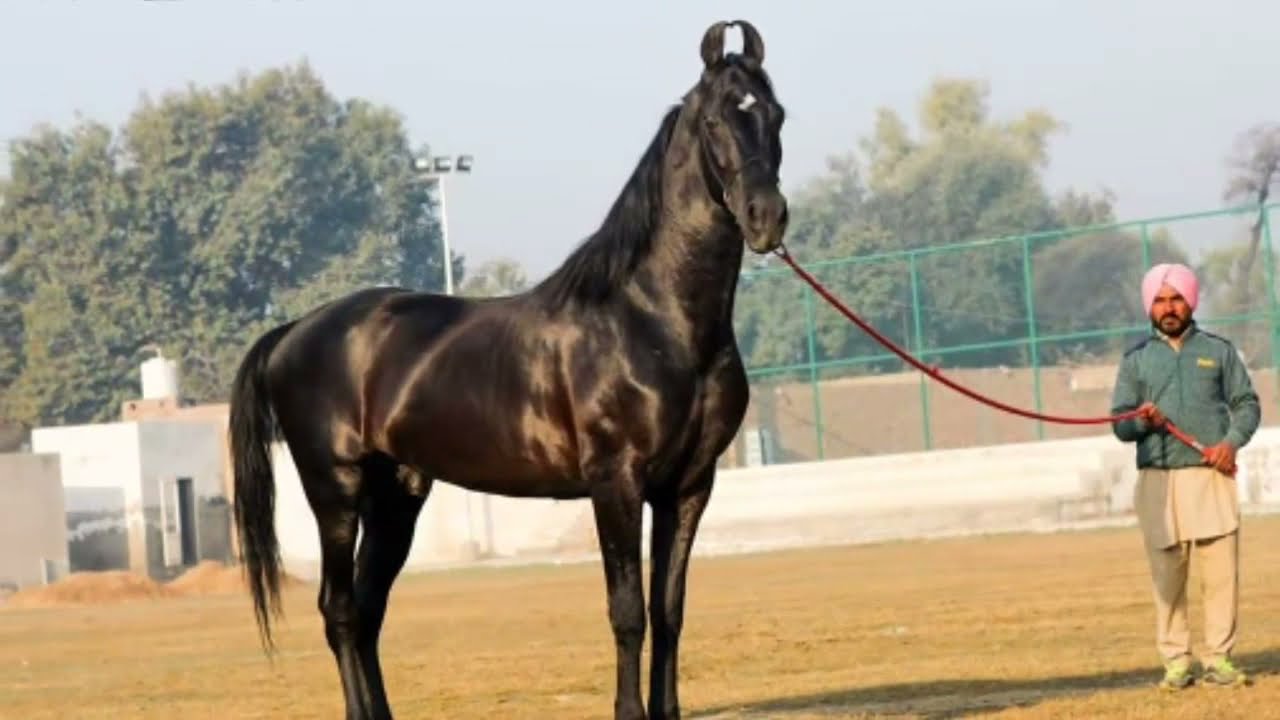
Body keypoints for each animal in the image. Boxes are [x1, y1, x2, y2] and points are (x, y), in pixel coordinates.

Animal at [227, 19, 788, 720]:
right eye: (716, 119)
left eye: (776, 114)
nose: (768, 217)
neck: (653, 320)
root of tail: (292, 333)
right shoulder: (616, 482)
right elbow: (628, 611)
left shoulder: (688, 486)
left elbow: (670, 612)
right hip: (337, 490)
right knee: (339, 611)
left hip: (397, 496)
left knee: (367, 610)